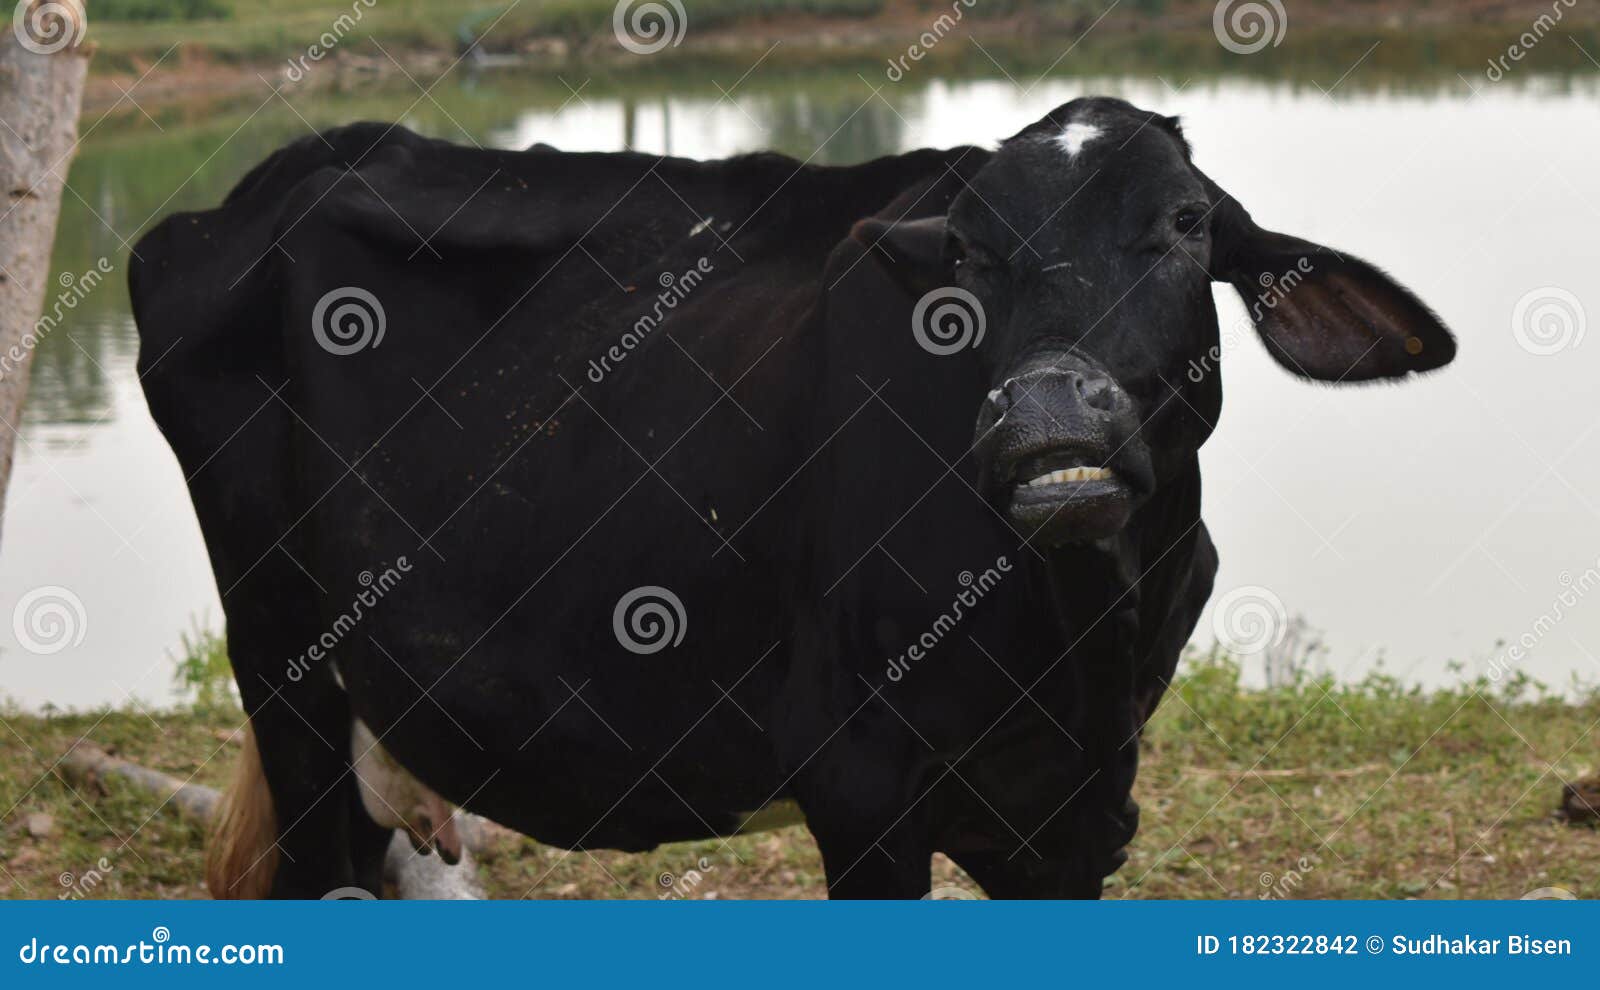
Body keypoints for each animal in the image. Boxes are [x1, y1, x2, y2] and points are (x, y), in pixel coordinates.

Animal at [130, 97, 1454, 899]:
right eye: (967, 254)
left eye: (1184, 224)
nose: (1046, 415)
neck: (1078, 633)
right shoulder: (857, 779)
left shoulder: (1081, 808)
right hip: (285, 672)